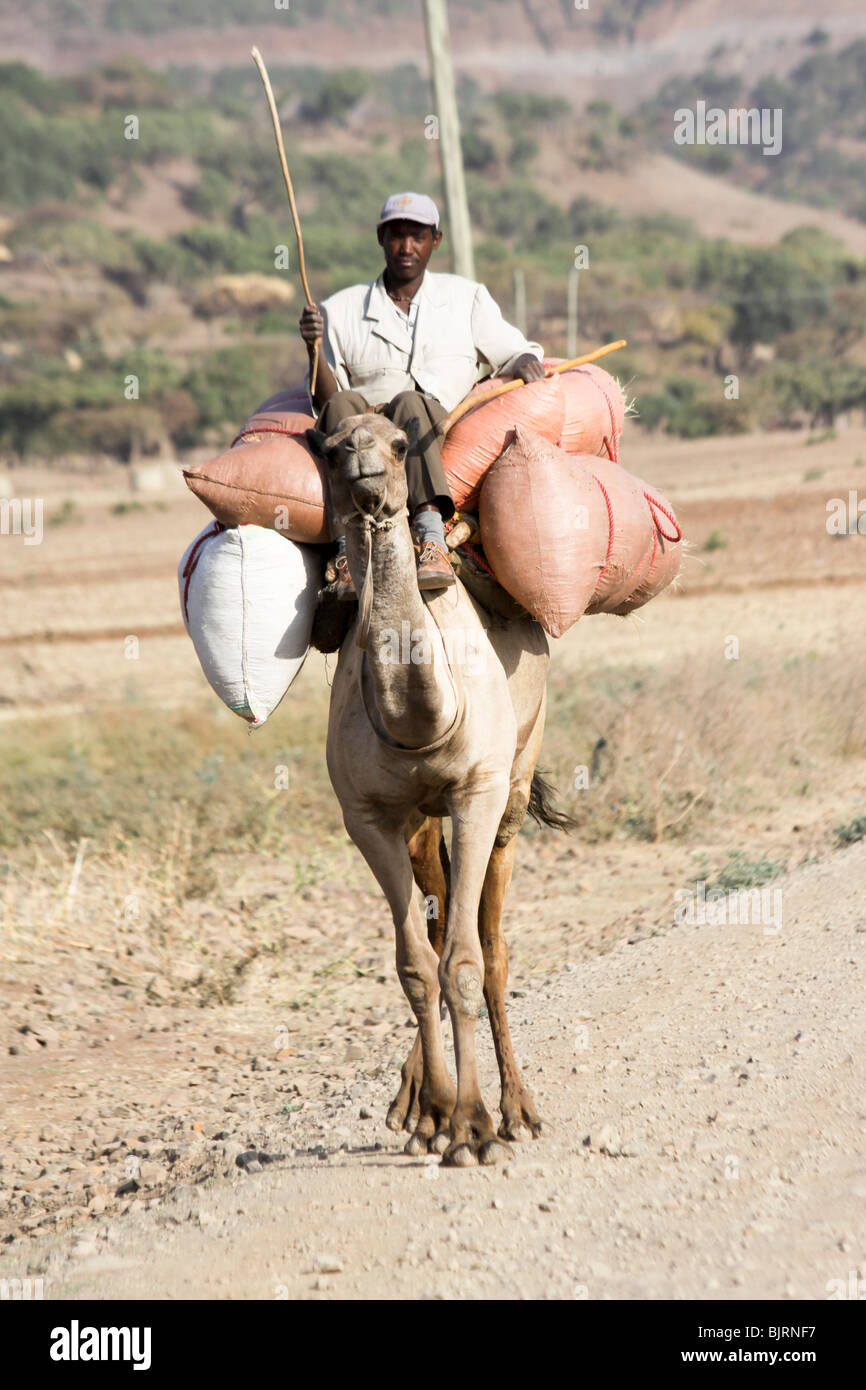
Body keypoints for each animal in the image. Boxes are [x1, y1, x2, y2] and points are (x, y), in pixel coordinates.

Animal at [308, 411, 568, 1165]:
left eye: (400, 444)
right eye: (331, 448)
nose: (363, 464)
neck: (417, 718)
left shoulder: (476, 791)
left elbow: (466, 961)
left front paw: (475, 1128)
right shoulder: (367, 816)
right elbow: (417, 966)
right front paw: (443, 1115)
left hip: (515, 783)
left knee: (492, 940)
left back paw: (517, 1110)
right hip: (422, 823)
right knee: (438, 912)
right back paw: (422, 1107)